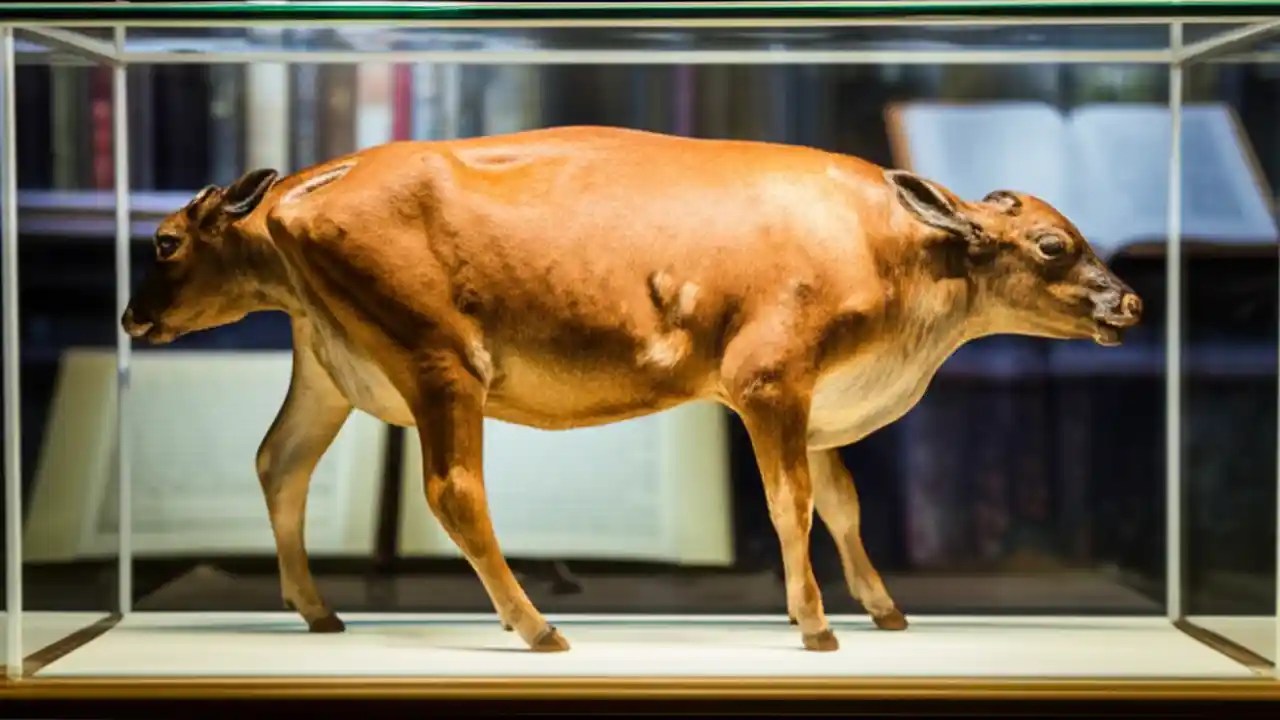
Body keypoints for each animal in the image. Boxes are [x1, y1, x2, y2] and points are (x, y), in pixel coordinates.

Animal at [120, 125, 1142, 653]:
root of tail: (307, 187)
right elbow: (793, 506)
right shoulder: (769, 385)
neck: (892, 245)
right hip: (443, 367)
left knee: (279, 464)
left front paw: (885, 610)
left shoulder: (820, 410)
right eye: (1054, 244)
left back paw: (320, 612)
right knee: (454, 492)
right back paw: (537, 629)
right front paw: (816, 626)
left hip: (329, 373)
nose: (1129, 301)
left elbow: (846, 504)